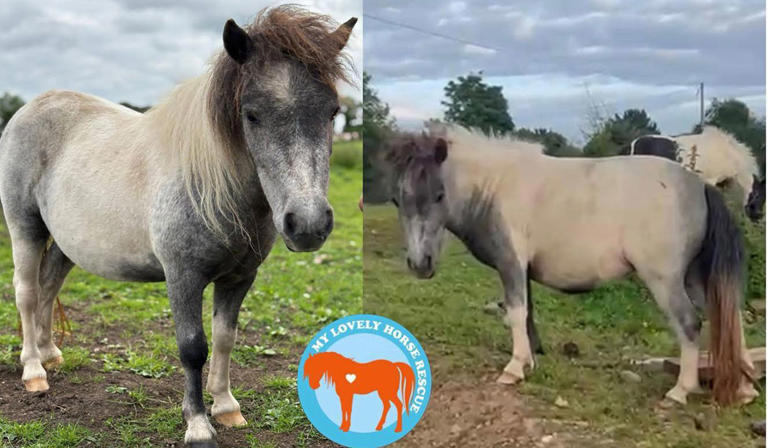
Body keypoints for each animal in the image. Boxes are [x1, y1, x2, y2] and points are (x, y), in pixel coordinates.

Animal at [0, 7, 356, 447]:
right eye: (252, 114)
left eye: (332, 112)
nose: (307, 224)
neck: (212, 186)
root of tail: (31, 108)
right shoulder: (182, 277)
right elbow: (193, 348)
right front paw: (198, 423)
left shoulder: (240, 278)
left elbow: (224, 339)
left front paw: (226, 406)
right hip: (25, 229)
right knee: (28, 293)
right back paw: (34, 370)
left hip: (67, 244)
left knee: (49, 286)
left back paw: (51, 355)